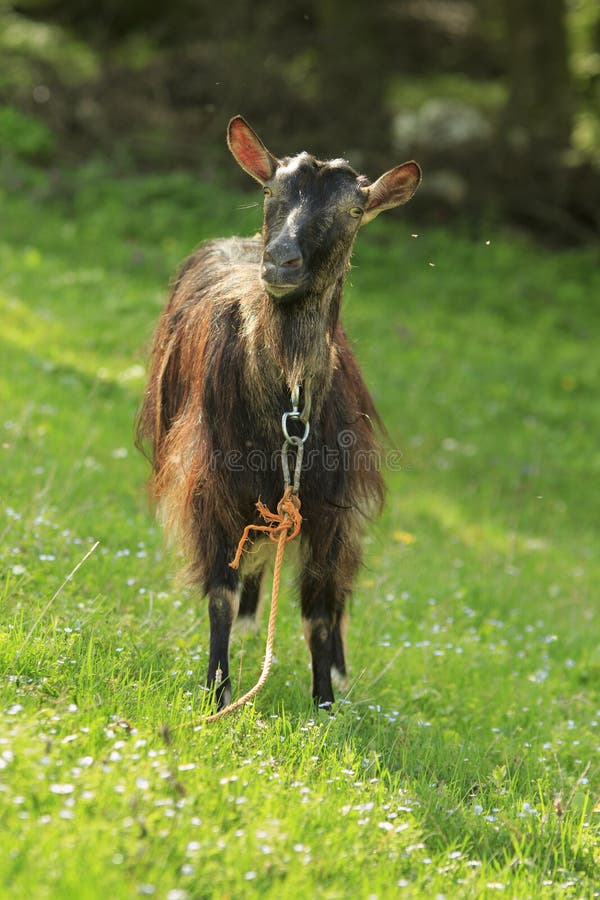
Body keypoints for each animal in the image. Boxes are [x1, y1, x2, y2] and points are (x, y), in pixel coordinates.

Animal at [137, 118, 422, 712]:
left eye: (354, 209)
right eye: (270, 191)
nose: (281, 260)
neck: (287, 404)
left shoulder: (329, 501)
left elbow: (319, 611)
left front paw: (324, 705)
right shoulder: (212, 483)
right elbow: (219, 592)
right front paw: (218, 692)